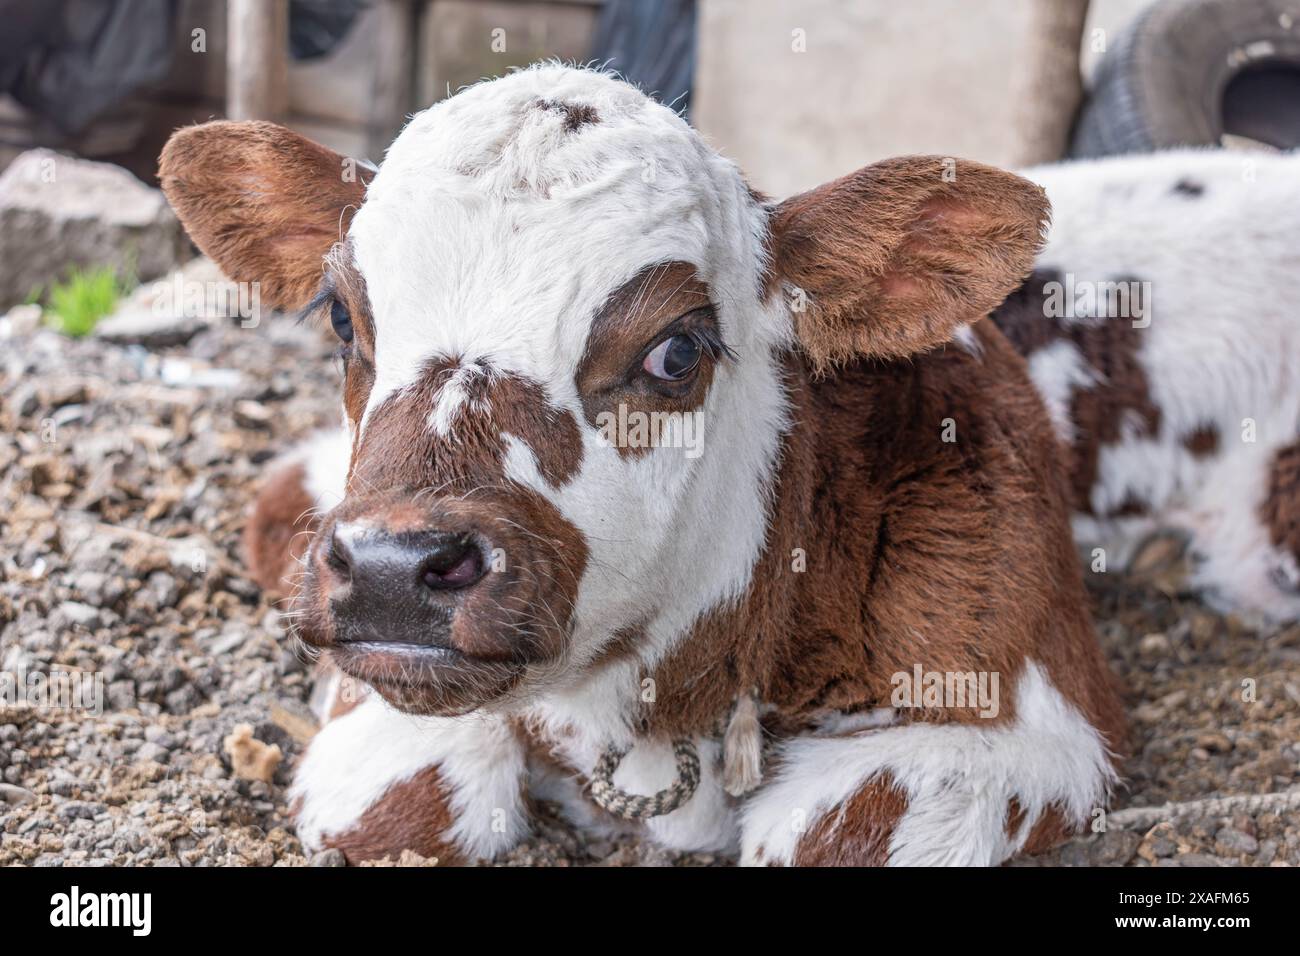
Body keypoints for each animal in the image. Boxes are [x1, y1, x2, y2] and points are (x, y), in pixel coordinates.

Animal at [159, 64, 1130, 866]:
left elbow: (828, 833)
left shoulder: (1009, 715)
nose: (393, 569)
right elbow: (398, 806)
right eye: (341, 317)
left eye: (677, 351)